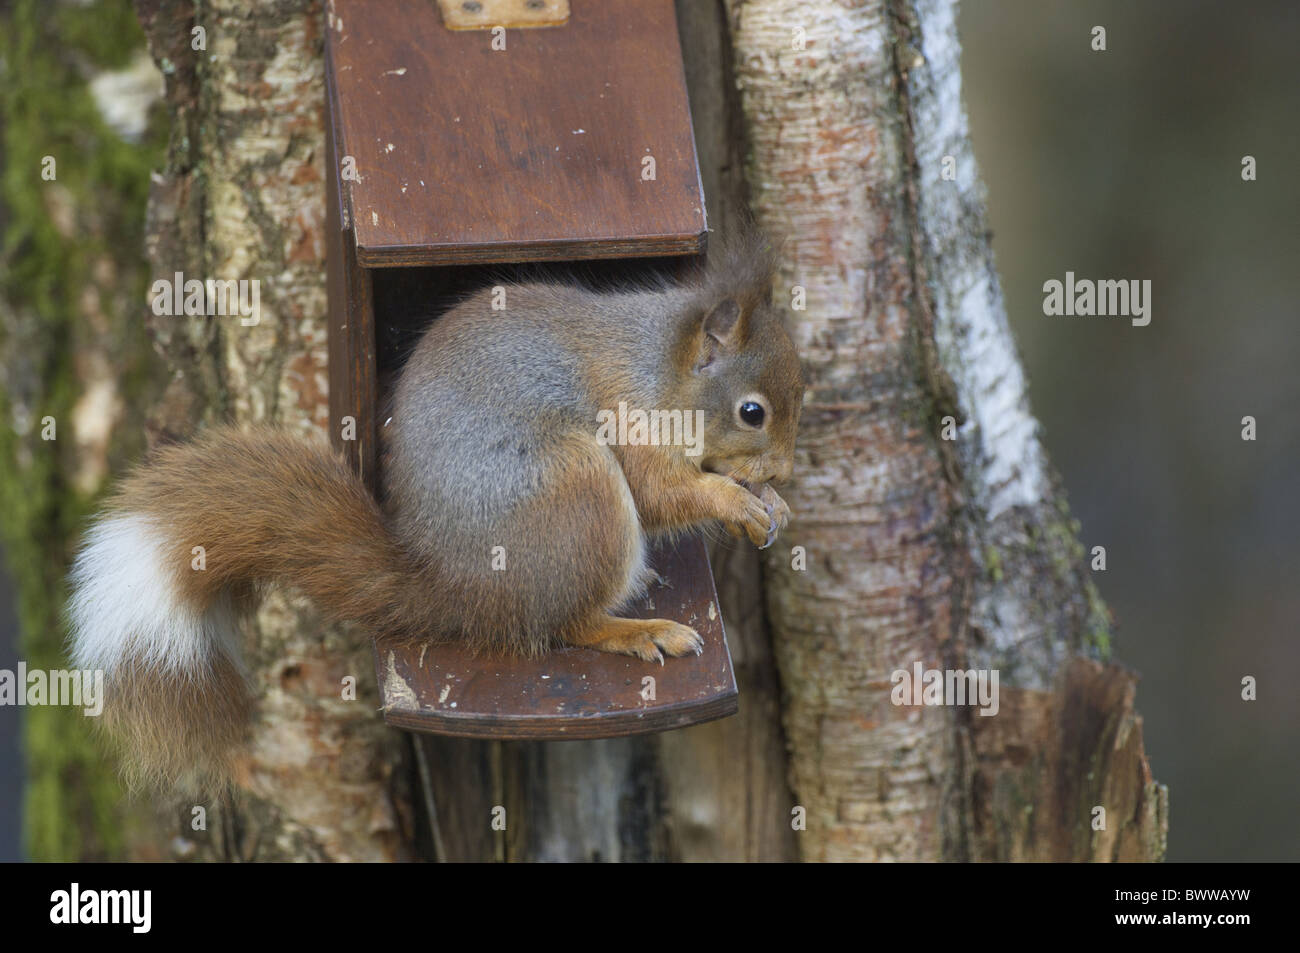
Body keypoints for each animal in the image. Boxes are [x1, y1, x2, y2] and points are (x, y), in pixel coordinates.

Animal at [66, 229, 804, 791]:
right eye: (752, 412)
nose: (785, 471)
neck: (663, 369)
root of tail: (456, 591)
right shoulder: (630, 417)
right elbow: (659, 493)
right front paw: (737, 500)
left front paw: (773, 503)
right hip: (578, 487)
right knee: (567, 622)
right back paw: (638, 629)